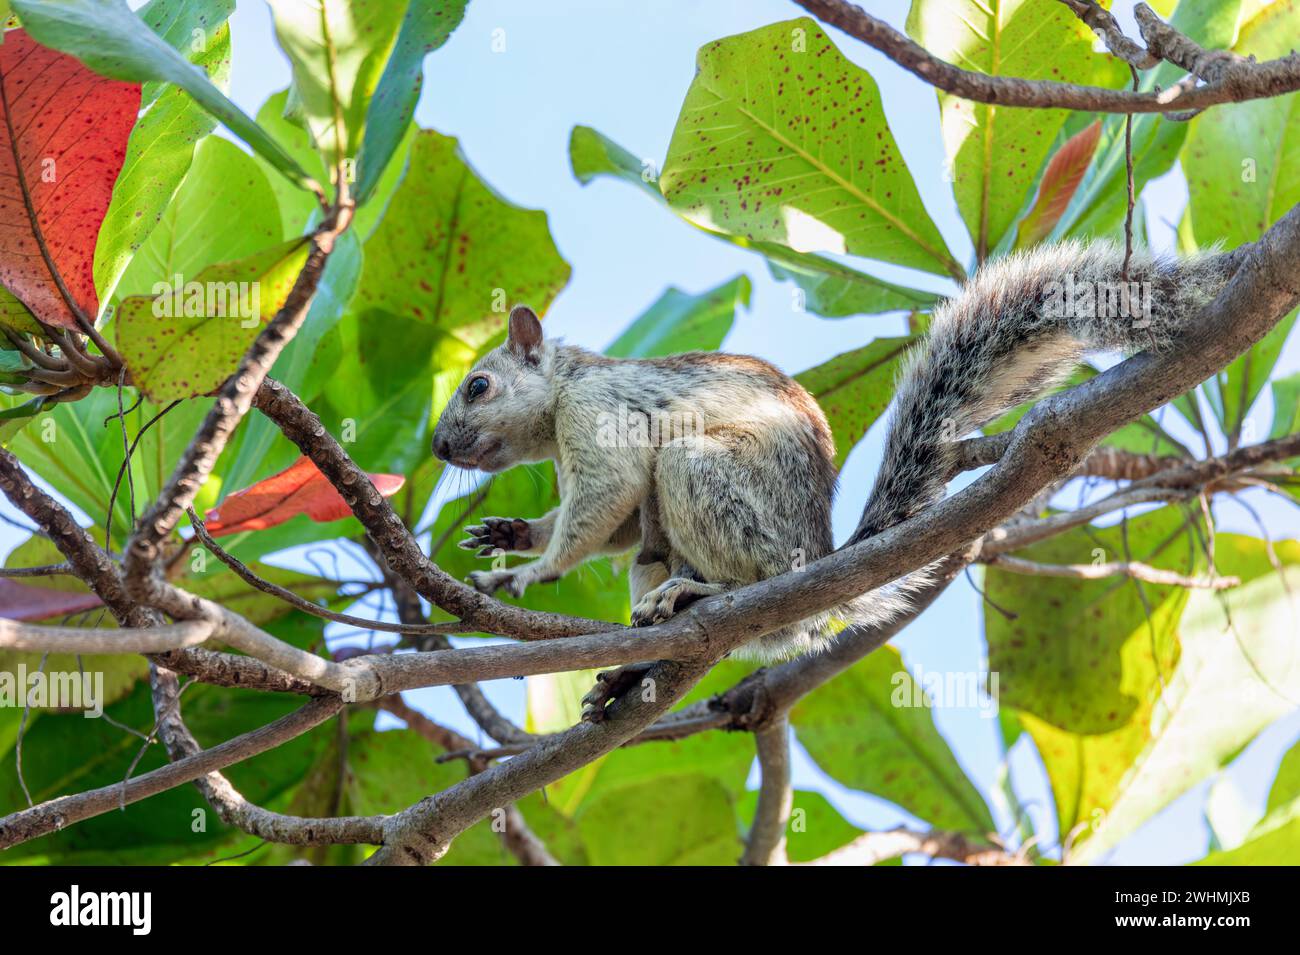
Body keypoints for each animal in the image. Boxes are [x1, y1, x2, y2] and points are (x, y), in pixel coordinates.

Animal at [431, 239, 1238, 660]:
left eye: (477, 385)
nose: (438, 446)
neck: (565, 389)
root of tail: (817, 566)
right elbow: (617, 524)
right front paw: (510, 532)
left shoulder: (601, 420)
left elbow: (604, 502)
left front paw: (529, 570)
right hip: (666, 549)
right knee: (653, 557)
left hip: (708, 482)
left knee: (744, 567)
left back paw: (701, 594)